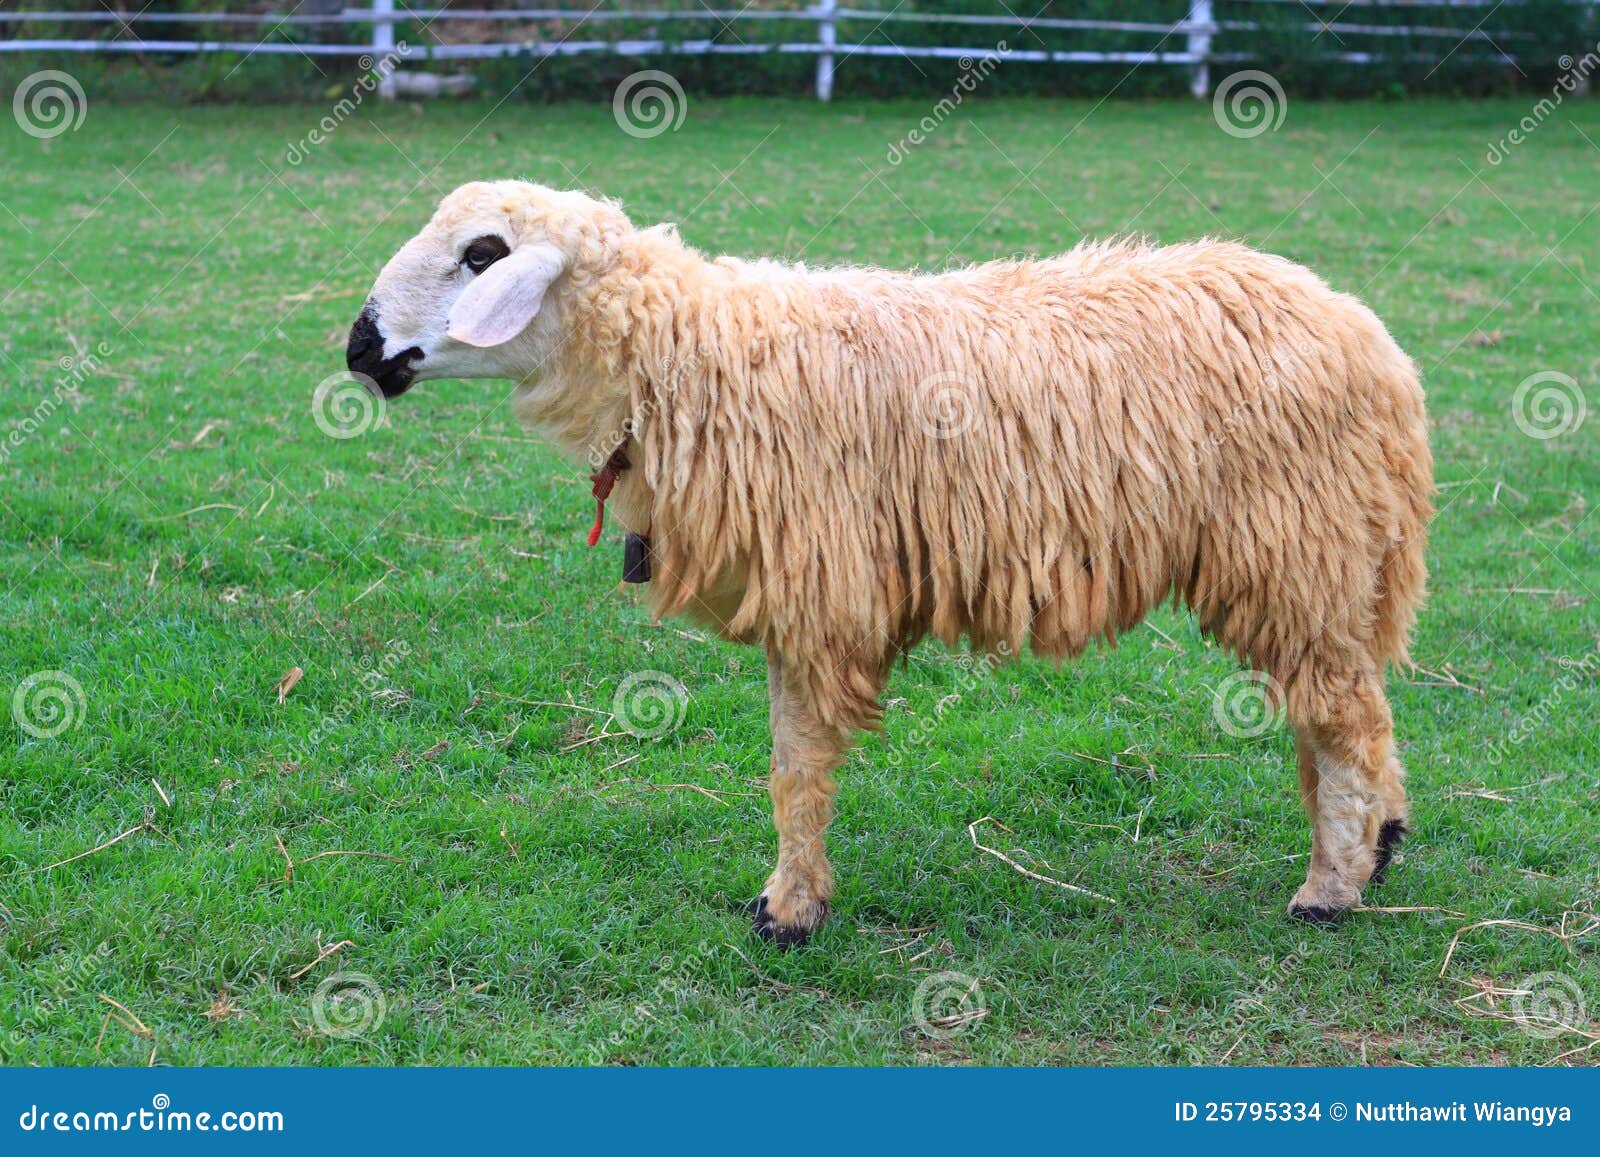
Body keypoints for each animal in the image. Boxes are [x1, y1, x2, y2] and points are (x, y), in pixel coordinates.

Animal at [348, 180, 1434, 946]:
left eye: (482, 255)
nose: (359, 346)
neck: (695, 354)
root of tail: (1374, 343)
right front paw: (790, 897)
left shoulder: (818, 590)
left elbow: (796, 768)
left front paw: (790, 909)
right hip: (1328, 562)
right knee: (1344, 709)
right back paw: (1377, 843)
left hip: (1295, 549)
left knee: (1343, 716)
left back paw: (1328, 889)